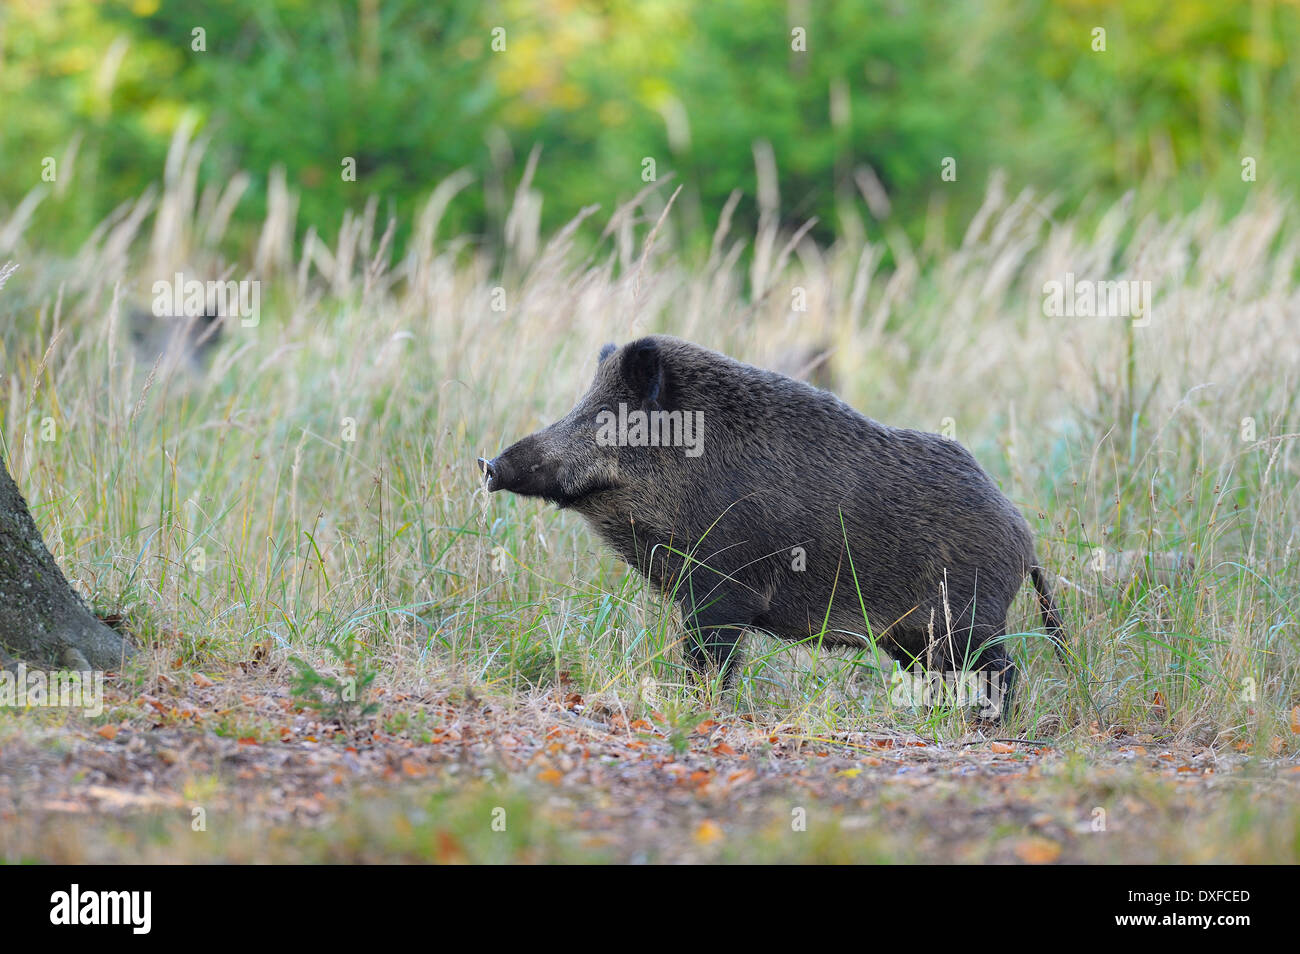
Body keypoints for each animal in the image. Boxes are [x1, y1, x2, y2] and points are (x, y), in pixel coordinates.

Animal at [478, 335, 1065, 717]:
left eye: (604, 416)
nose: (488, 464)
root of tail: (1024, 536)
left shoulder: (722, 588)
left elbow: (709, 661)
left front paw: (696, 709)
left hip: (969, 620)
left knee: (1004, 672)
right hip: (917, 638)